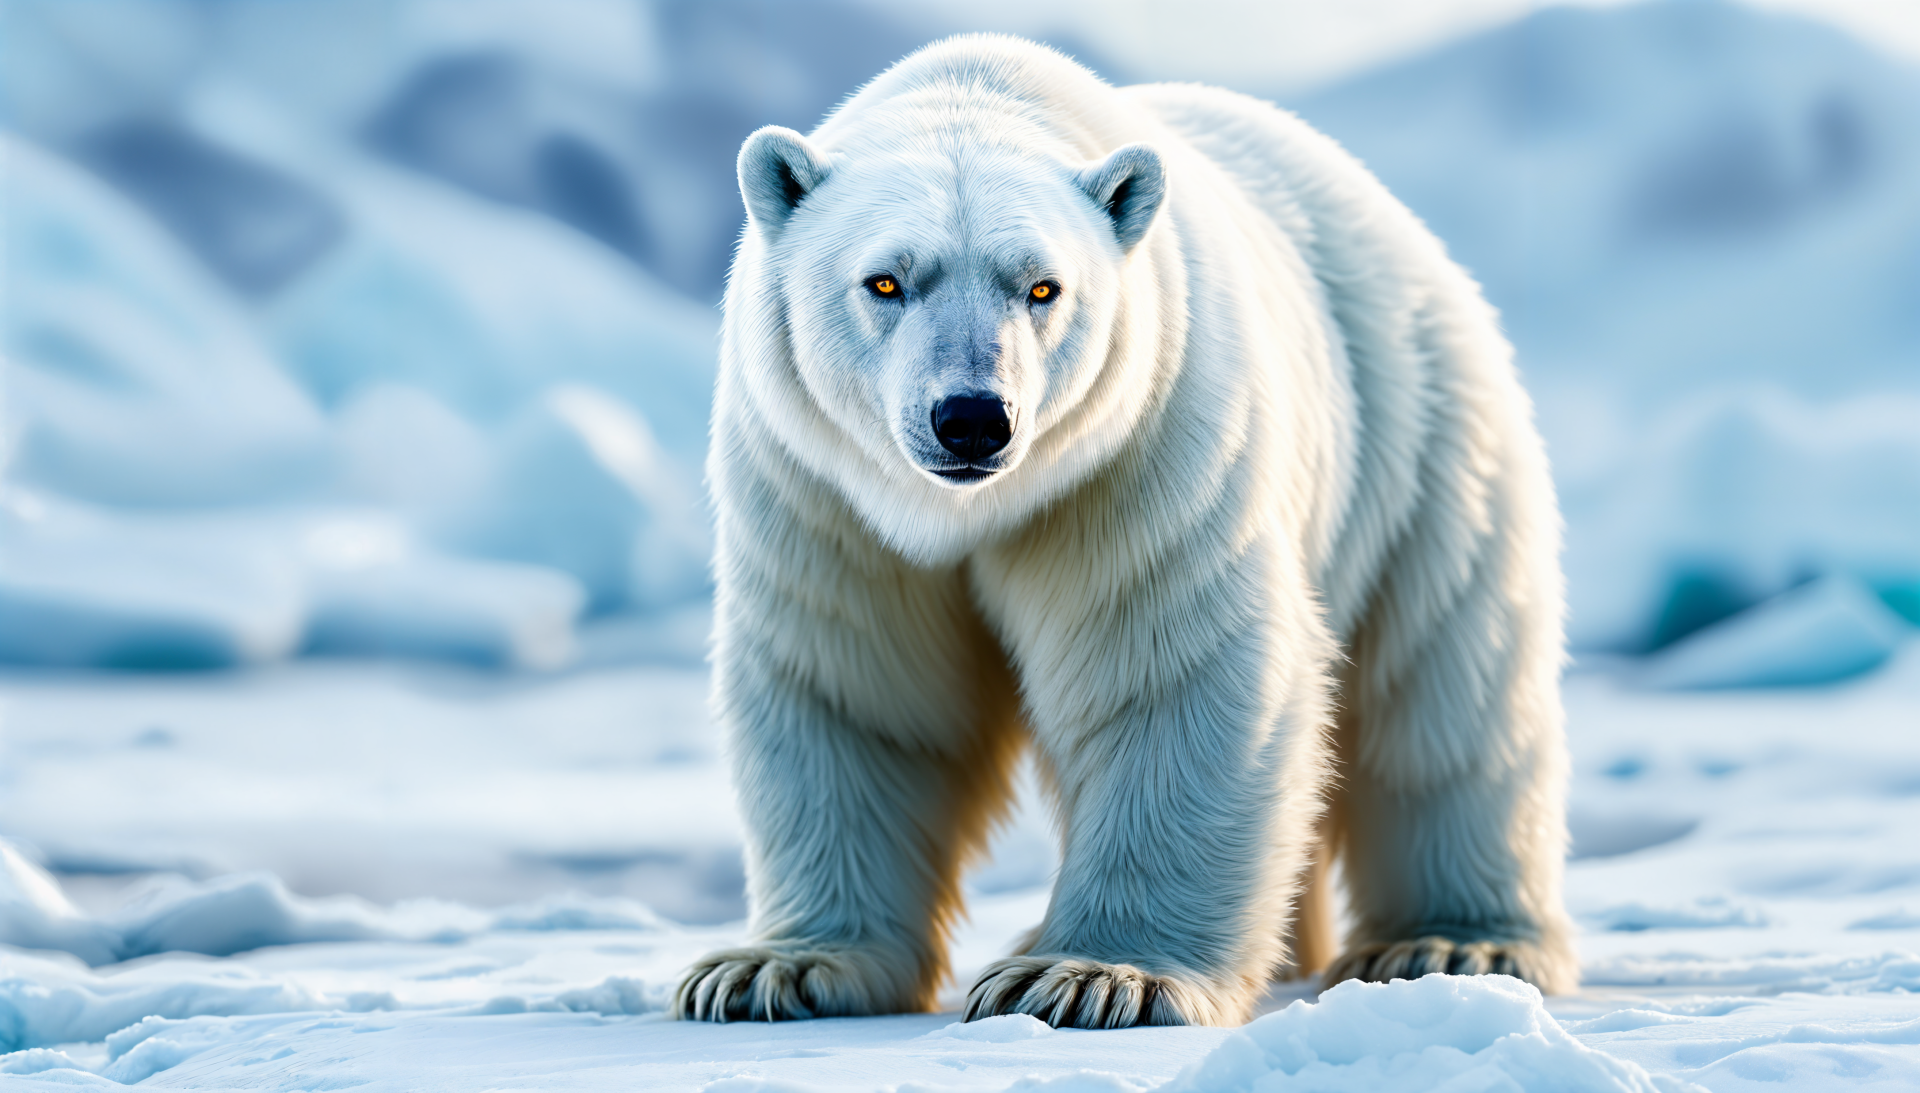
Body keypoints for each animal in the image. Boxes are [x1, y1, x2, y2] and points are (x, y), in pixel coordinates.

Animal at [674, 34, 1576, 1028]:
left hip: (1420, 440)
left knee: (1443, 697)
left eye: (1042, 286)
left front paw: (1092, 976)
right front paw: (773, 970)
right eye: (885, 280)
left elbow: (1168, 674)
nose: (972, 418)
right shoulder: (822, 498)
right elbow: (861, 693)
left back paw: (1450, 941)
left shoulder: (1139, 460)